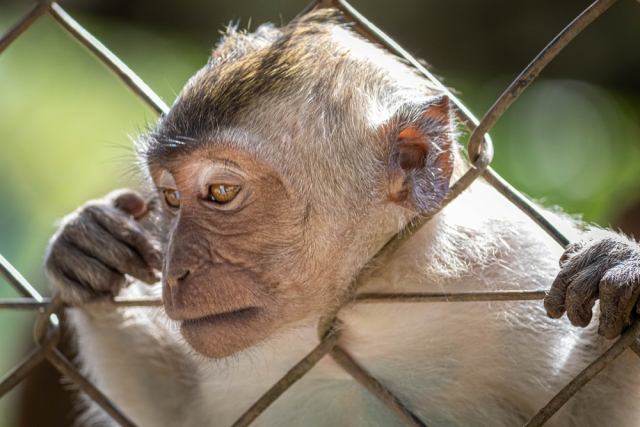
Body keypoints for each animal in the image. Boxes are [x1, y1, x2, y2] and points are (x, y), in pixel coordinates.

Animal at [43, 10, 640, 427]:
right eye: (169, 198)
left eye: (220, 192)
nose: (174, 272)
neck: (368, 306)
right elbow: (176, 414)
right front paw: (88, 247)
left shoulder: (517, 266)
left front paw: (620, 268)